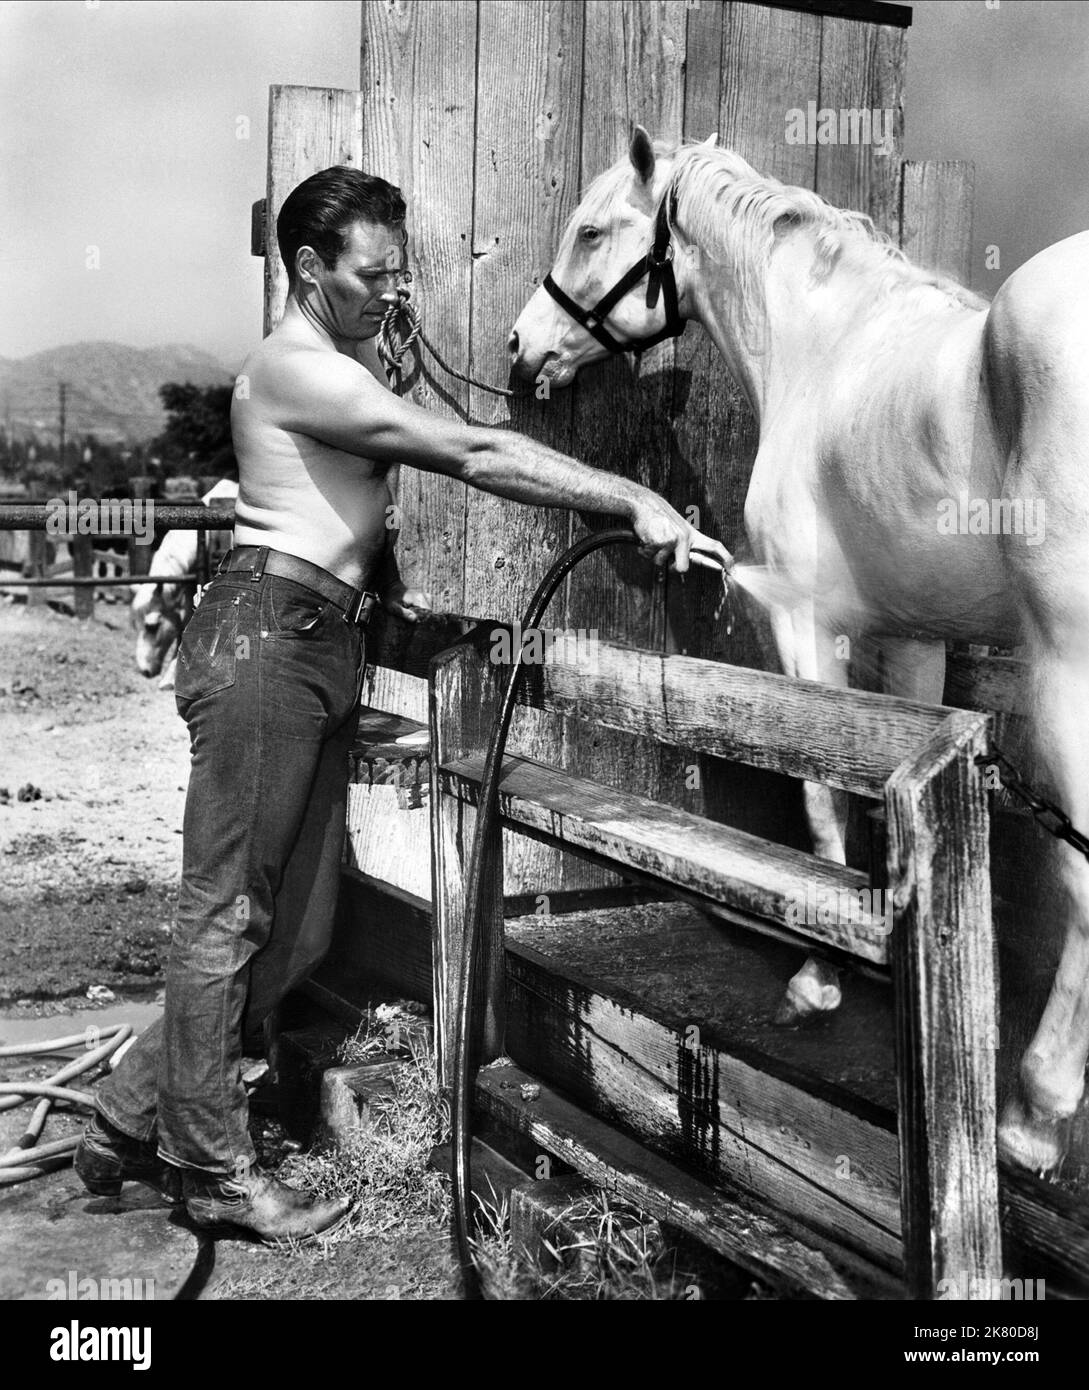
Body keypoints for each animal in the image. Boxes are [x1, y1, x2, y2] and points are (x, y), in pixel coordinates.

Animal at [508, 127, 1089, 1178]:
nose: (521, 346)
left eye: (591, 230)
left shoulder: (807, 624)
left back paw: (1033, 1115)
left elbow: (822, 804)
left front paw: (818, 976)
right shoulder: (911, 641)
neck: (830, 348)